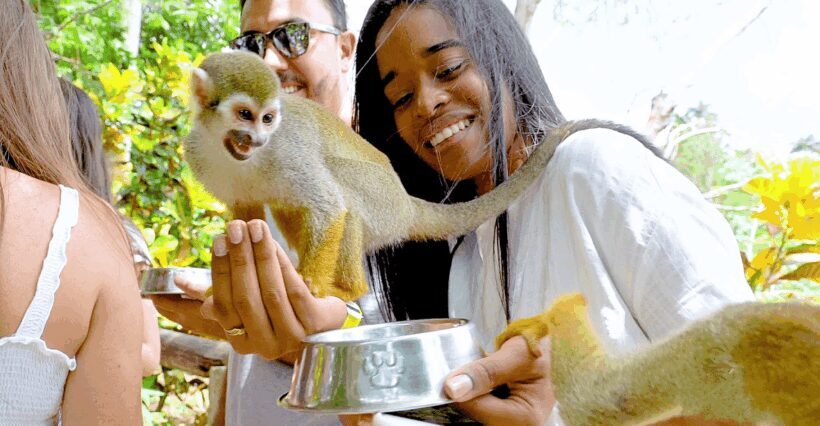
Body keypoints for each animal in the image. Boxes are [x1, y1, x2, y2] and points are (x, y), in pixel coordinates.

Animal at [184, 51, 647, 301]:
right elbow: (247, 212)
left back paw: (347, 290)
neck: (236, 156)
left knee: (342, 196)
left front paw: (310, 285)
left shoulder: (288, 152)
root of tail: (406, 203)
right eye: (245, 115)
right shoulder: (198, 155)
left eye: (267, 119)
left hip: (383, 204)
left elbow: (328, 205)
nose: (258, 139)